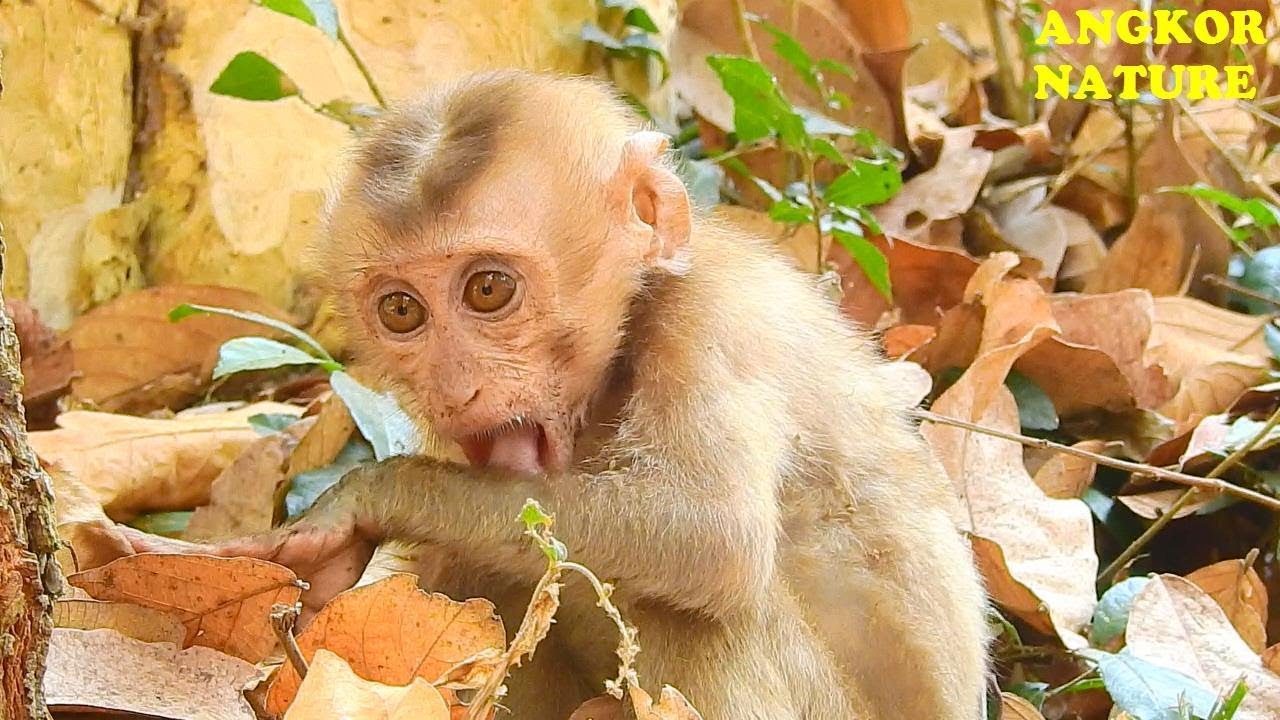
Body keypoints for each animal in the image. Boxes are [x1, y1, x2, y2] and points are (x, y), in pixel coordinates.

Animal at [126, 70, 989, 720]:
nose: (454, 386)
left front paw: (366, 496)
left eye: (488, 290)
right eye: (401, 310)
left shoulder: (710, 326)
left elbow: (715, 535)